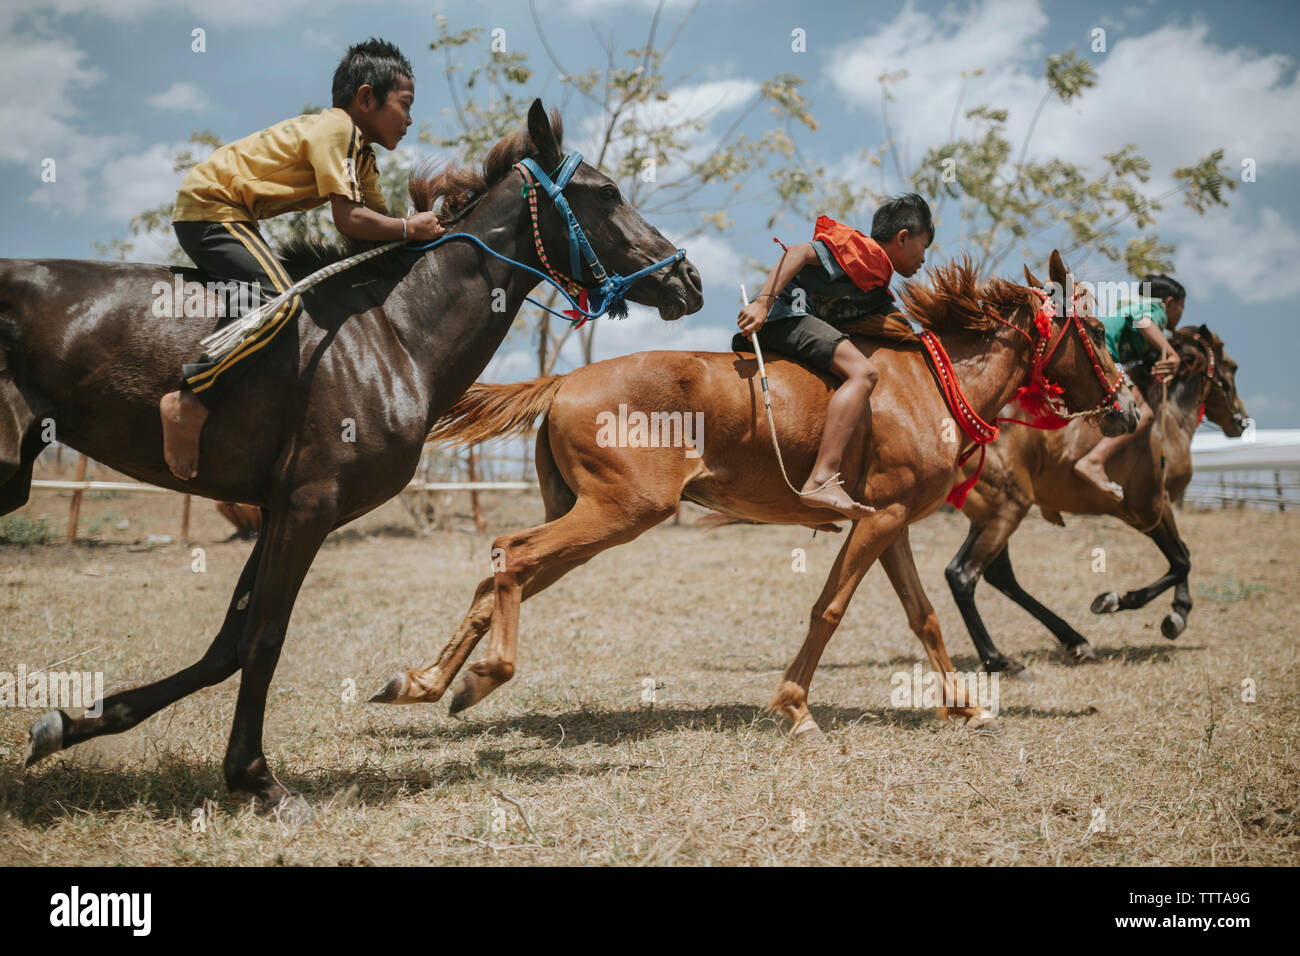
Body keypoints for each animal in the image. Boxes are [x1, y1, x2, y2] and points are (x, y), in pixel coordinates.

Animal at [6, 99, 703, 810]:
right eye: (609, 192)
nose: (688, 278)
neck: (392, 335)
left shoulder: (277, 510)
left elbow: (226, 647)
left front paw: (71, 725)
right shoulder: (309, 506)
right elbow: (263, 640)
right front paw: (258, 777)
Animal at [372, 251, 1139, 739]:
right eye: (1099, 334)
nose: (1131, 409)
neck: (930, 384)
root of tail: (564, 383)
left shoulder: (891, 524)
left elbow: (923, 617)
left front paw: (965, 706)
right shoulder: (879, 521)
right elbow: (829, 608)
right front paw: (795, 707)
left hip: (587, 519)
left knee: (499, 576)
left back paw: (425, 681)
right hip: (620, 514)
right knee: (511, 551)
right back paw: (482, 677)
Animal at [945, 323, 1247, 676]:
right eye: (1232, 368)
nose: (1241, 421)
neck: (1168, 420)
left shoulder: (1154, 509)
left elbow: (1180, 558)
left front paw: (1176, 613)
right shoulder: (1150, 508)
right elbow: (1181, 559)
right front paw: (1126, 602)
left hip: (991, 513)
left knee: (995, 574)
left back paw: (1073, 640)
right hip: (1007, 508)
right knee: (963, 575)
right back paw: (999, 658)